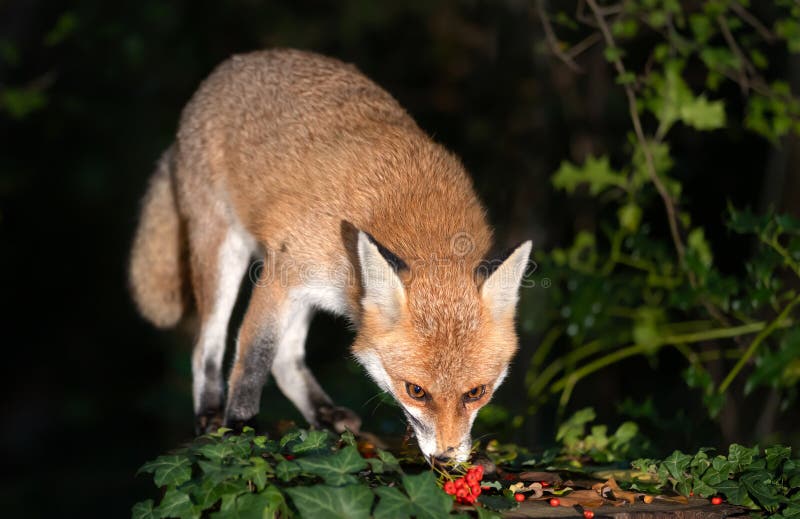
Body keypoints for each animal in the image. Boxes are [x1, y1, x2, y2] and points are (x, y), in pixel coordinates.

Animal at [129, 48, 531, 463]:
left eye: (476, 392)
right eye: (415, 391)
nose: (446, 459)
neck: (419, 217)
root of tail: (233, 64)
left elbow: (273, 357)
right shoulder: (280, 273)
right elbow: (254, 358)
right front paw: (240, 428)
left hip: (309, 296)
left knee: (286, 360)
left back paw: (322, 413)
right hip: (225, 254)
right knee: (206, 345)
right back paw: (210, 414)